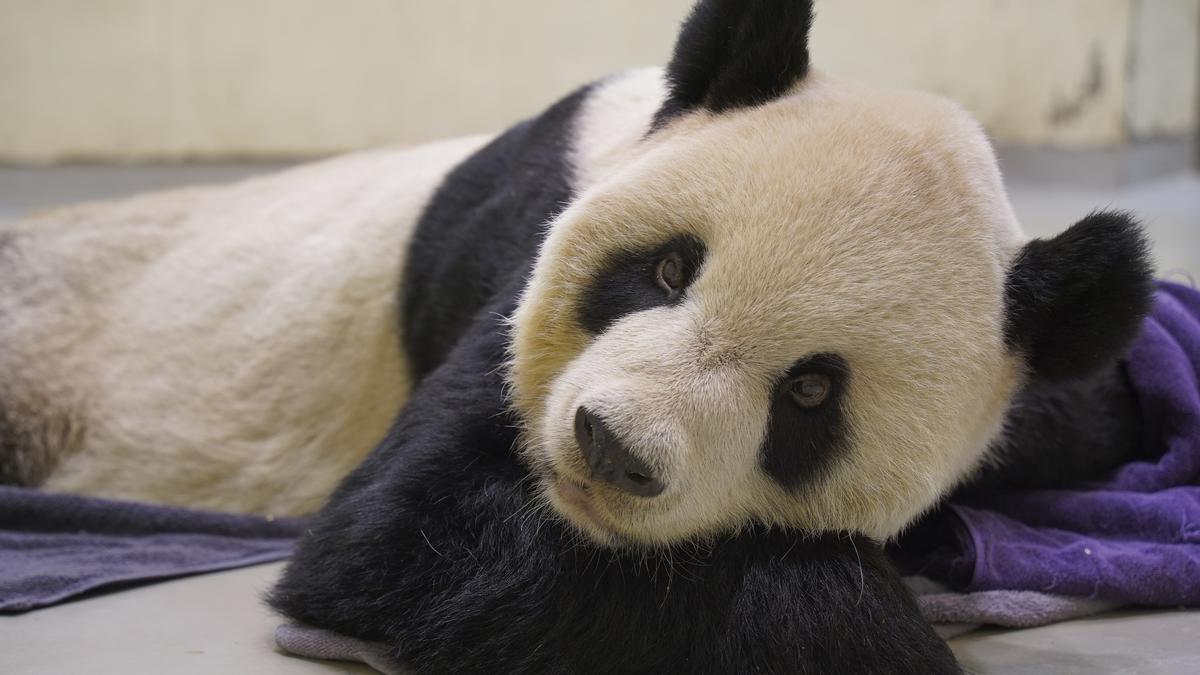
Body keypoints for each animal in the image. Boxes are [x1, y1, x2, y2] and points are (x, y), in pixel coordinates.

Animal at [1, 0, 1151, 671]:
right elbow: (391, 532)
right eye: (669, 270)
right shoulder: (522, 266)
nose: (613, 447)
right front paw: (879, 639)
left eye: (811, 393)